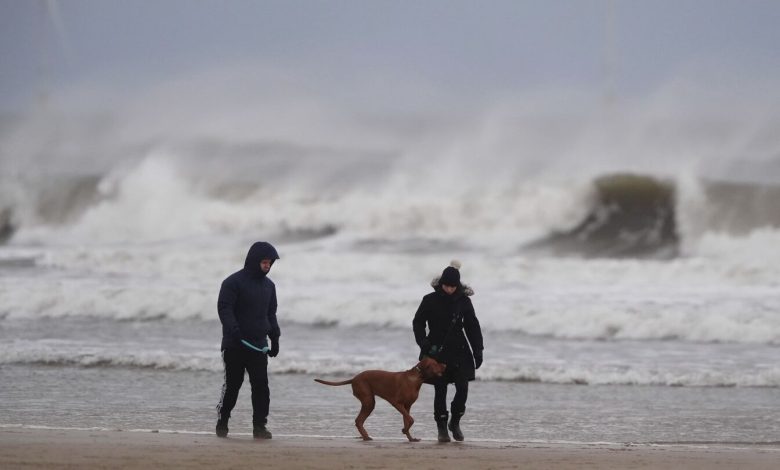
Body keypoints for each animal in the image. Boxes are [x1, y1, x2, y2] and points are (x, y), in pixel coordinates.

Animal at [312, 358, 444, 442]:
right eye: (436, 363)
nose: (445, 365)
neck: (416, 379)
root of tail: (354, 378)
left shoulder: (407, 406)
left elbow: (407, 420)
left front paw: (410, 438)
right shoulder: (397, 403)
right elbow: (411, 420)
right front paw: (404, 430)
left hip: (368, 402)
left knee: (359, 421)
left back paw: (365, 437)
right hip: (368, 401)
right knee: (358, 420)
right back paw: (366, 437)